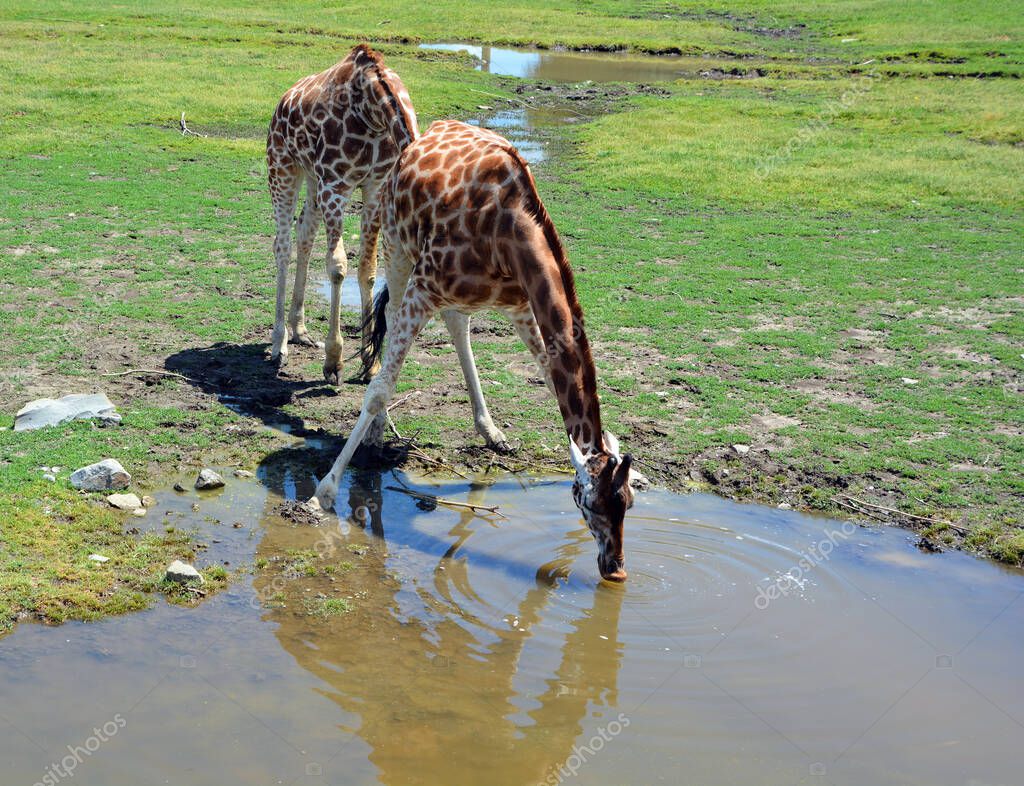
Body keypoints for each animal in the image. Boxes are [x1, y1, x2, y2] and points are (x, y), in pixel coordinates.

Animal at [266, 43, 417, 383]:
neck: (373, 114)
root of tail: (283, 100)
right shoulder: (336, 186)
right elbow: (337, 267)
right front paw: (334, 361)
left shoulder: (375, 188)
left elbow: (367, 269)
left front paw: (369, 362)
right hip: (282, 167)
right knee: (282, 245)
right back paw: (279, 343)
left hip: (312, 177)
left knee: (304, 233)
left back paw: (300, 331)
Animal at [307, 119, 644, 582]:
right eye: (590, 504)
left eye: (628, 503)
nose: (616, 570)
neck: (508, 231)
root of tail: (431, 129)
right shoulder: (425, 286)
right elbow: (379, 389)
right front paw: (323, 493)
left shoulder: (520, 304)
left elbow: (548, 372)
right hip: (397, 245)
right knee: (390, 316)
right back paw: (375, 434)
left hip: (459, 292)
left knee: (457, 323)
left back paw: (490, 431)